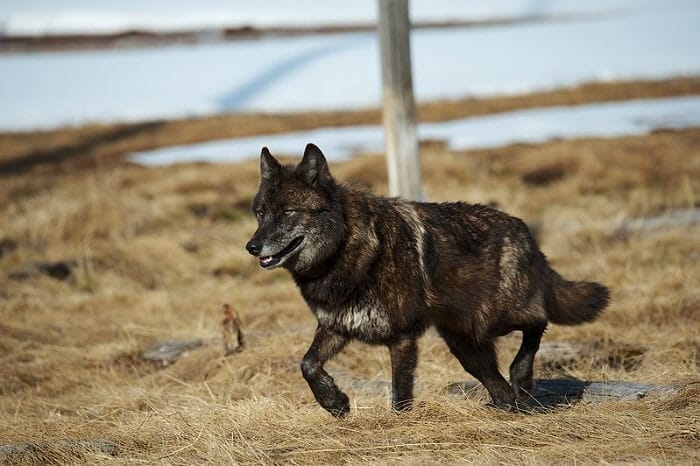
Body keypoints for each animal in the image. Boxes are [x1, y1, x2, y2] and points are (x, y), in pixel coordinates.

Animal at [246, 143, 609, 417]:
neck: (346, 251)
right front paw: (335, 402)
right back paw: (508, 404)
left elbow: (400, 393)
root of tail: (525, 230)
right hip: (466, 346)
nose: (252, 247)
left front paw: (398, 427)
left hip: (493, 320)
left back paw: (521, 377)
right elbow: (307, 364)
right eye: (260, 213)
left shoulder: (402, 337)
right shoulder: (337, 327)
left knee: (538, 321)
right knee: (495, 380)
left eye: (288, 212)